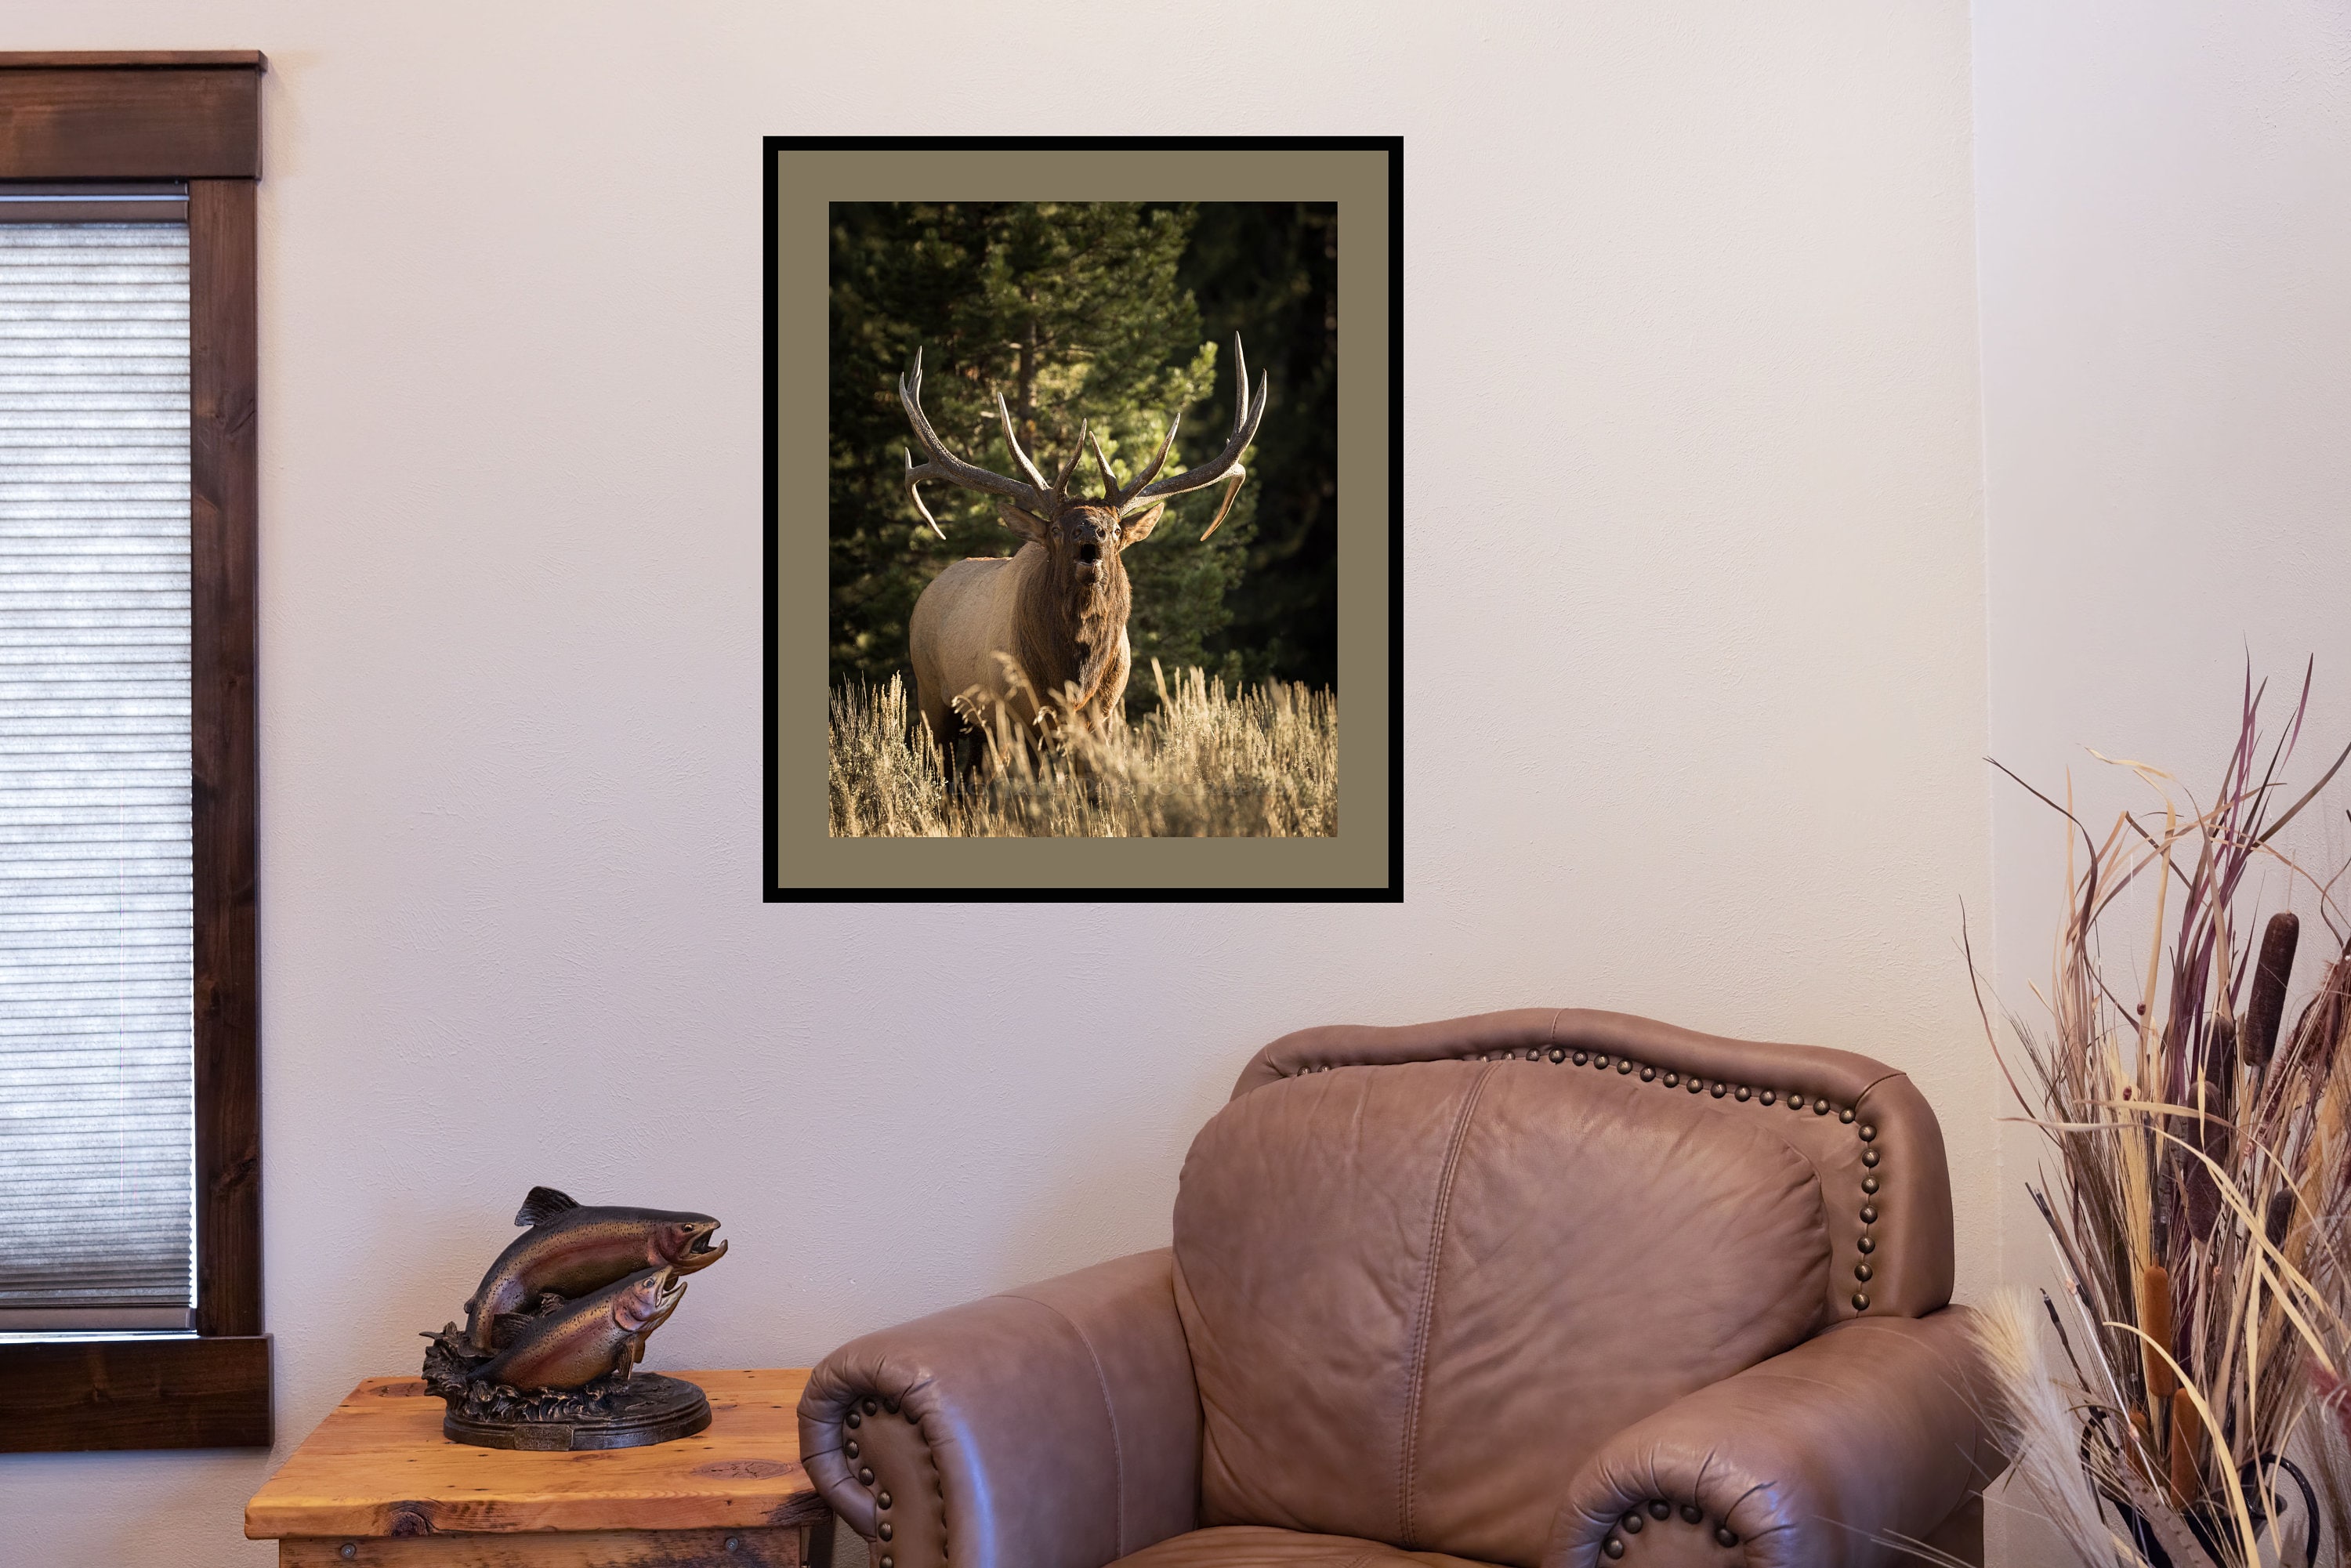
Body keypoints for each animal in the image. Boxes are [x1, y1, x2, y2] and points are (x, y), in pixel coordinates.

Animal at [897, 335, 1267, 775]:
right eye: (1056, 528)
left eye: (1116, 529)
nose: (1090, 532)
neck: (1074, 677)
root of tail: (926, 593)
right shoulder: (1019, 712)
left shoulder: (1100, 715)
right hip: (932, 694)